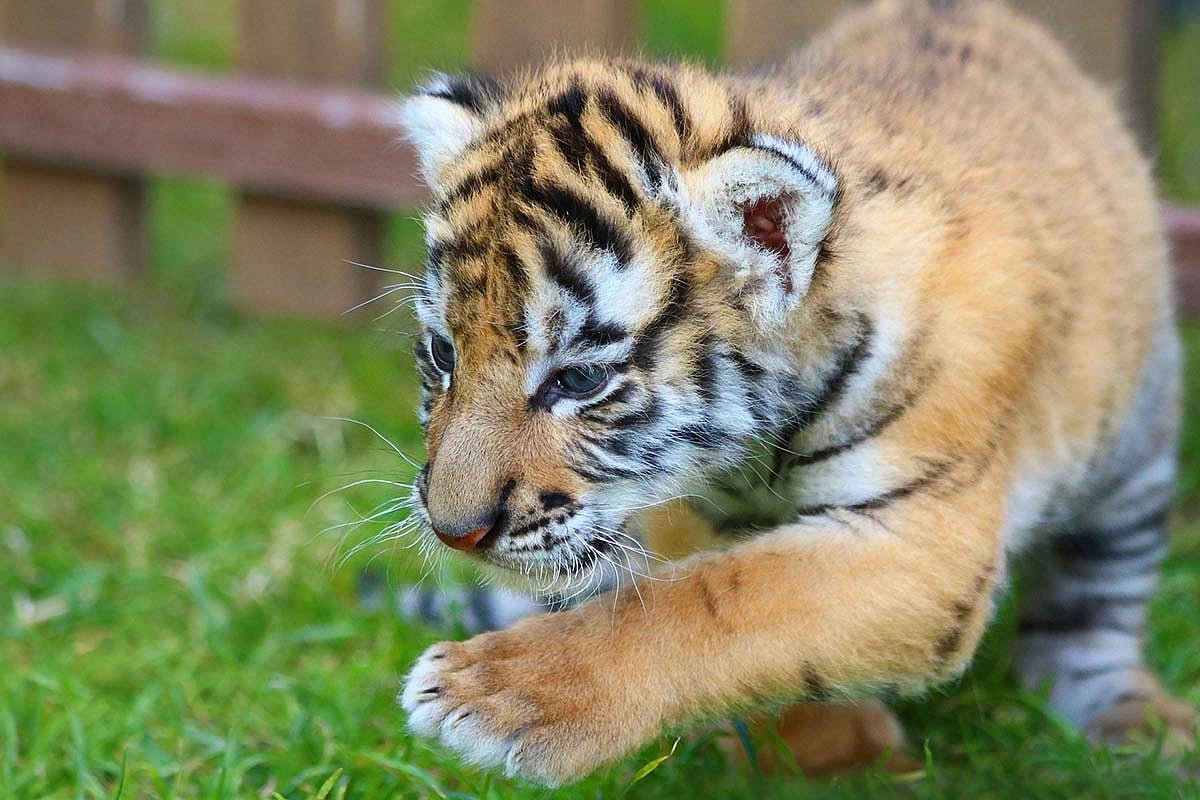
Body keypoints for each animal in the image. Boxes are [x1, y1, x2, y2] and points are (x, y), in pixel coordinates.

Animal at [389, 0, 1197, 785]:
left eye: (579, 379)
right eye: (443, 353)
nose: (453, 532)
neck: (753, 451)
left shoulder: (927, 534)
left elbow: (714, 605)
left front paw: (494, 694)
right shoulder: (688, 510)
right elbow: (706, 596)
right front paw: (825, 750)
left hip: (1134, 456)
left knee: (1090, 615)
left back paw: (1132, 724)